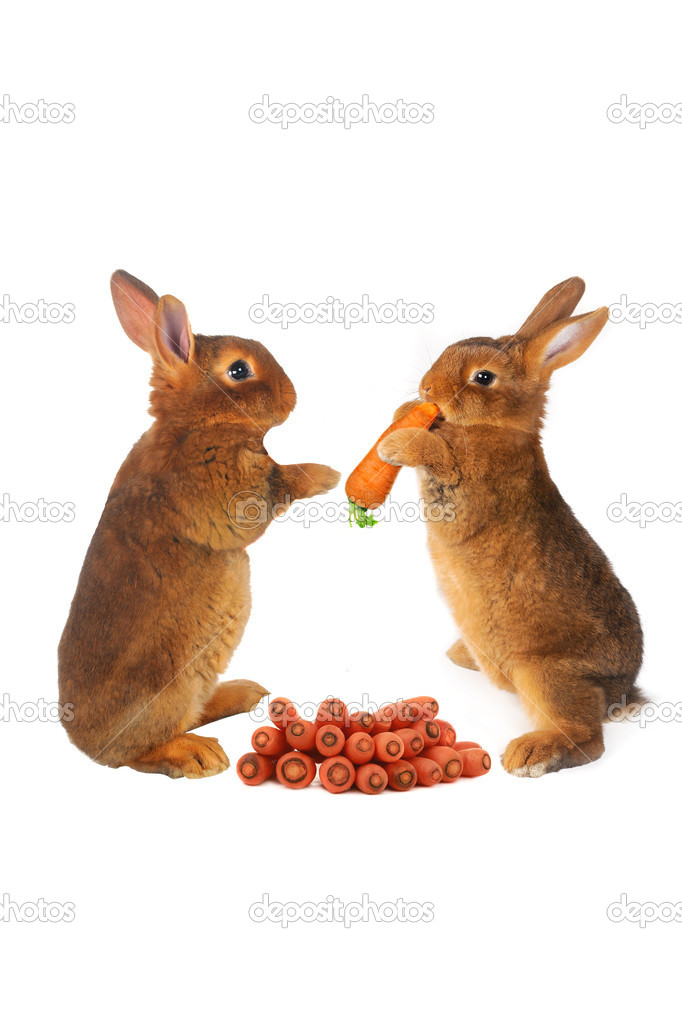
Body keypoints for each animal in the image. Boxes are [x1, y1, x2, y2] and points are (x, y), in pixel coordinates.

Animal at [58, 270, 340, 779]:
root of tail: (83, 745)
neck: (196, 424)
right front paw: (327, 474)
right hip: (166, 690)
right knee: (141, 752)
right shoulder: (230, 490)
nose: (292, 396)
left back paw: (245, 693)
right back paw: (198, 753)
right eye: (239, 371)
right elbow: (278, 482)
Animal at [379, 277, 644, 777]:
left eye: (483, 378)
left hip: (545, 675)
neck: (496, 428)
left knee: (587, 740)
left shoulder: (468, 488)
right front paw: (405, 410)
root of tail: (621, 690)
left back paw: (529, 755)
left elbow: (436, 455)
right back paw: (462, 656)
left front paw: (396, 442)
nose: (426, 388)